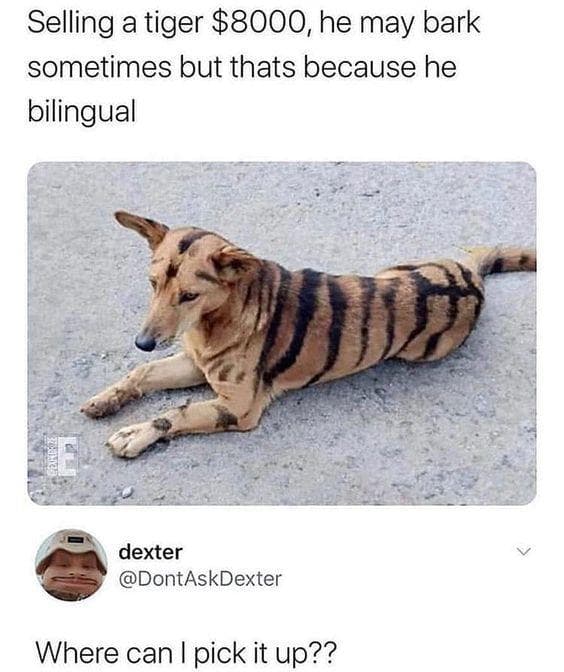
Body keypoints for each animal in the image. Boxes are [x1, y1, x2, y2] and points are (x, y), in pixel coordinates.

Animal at [81, 211, 536, 458]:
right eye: (152, 283)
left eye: (189, 295)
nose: (143, 342)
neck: (214, 319)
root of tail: (472, 275)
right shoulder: (193, 363)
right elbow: (141, 375)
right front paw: (107, 398)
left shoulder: (238, 406)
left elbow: (173, 413)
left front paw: (135, 433)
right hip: (388, 269)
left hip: (420, 347)